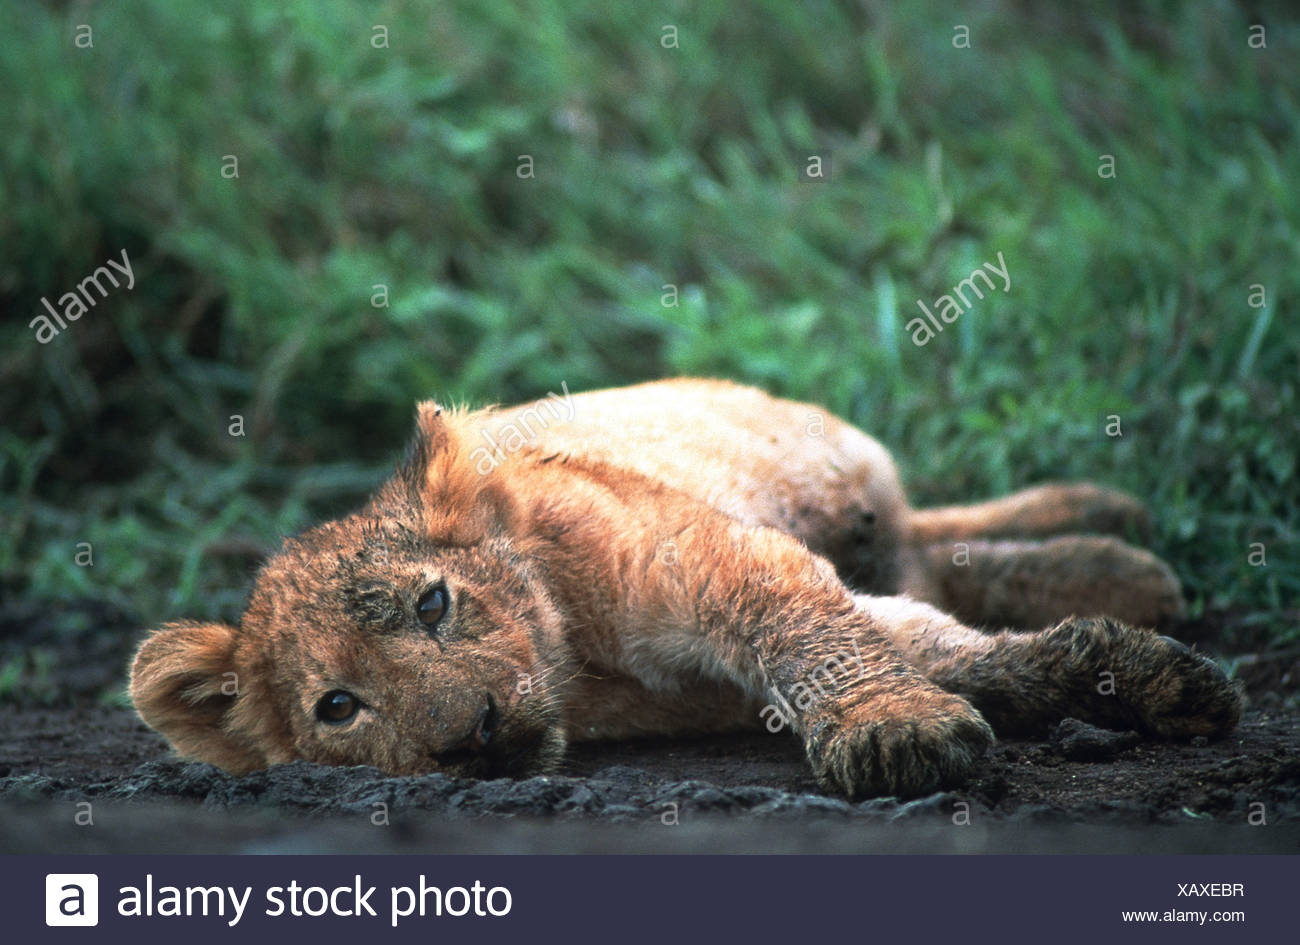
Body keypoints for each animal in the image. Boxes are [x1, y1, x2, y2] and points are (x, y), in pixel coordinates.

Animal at [130, 378, 1241, 798]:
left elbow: (824, 637)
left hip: (837, 473)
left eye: (433, 603)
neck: (582, 665)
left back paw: (1120, 535)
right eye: (338, 707)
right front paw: (1146, 677)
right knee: (929, 563)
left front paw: (893, 733)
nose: (469, 738)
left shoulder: (714, 563)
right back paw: (1125, 561)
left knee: (925, 532)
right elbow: (948, 649)